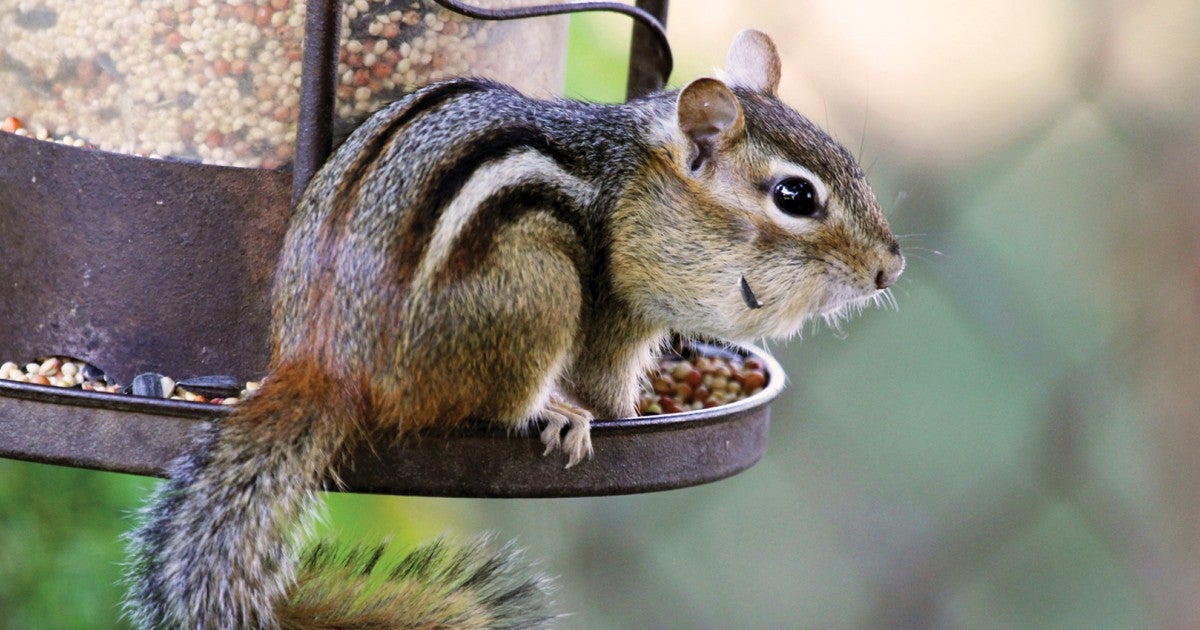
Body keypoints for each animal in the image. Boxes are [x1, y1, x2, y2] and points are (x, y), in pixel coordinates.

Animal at [123, 29, 903, 629]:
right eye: (795, 196)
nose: (889, 267)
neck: (642, 184)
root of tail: (327, 362)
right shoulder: (615, 301)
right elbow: (606, 378)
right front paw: (624, 413)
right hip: (541, 286)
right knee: (500, 405)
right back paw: (555, 415)